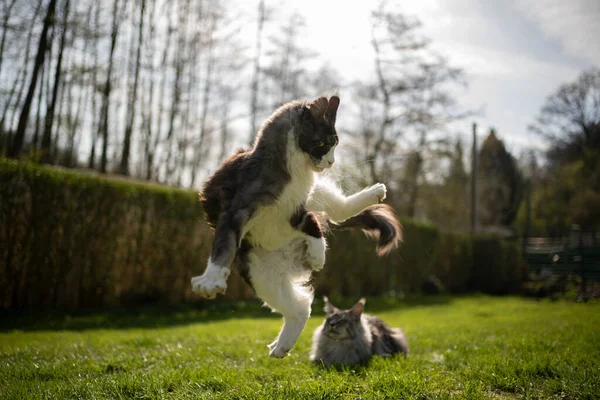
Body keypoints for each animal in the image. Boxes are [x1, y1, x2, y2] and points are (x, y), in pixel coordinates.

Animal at [190, 95, 400, 358]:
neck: (294, 171)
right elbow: (223, 246)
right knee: (300, 307)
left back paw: (376, 192)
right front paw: (211, 280)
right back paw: (281, 346)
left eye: (336, 144)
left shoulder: (297, 210)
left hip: (314, 199)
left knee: (337, 211)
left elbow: (313, 224)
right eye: (325, 142)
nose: (331, 162)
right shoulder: (236, 212)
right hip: (260, 273)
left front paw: (318, 255)